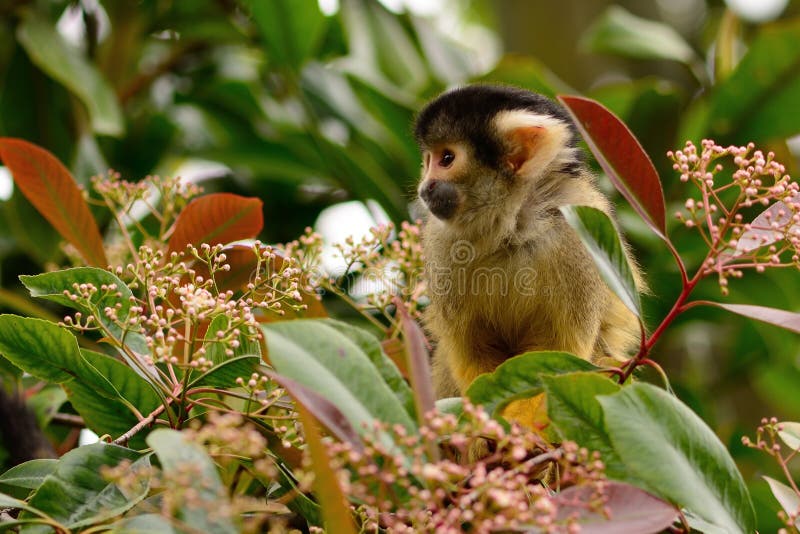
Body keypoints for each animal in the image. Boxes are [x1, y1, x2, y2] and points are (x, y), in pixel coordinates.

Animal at [414, 84, 643, 405]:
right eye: (427, 162)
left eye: (446, 159)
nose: (425, 187)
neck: (513, 227)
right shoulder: (441, 244)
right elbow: (473, 353)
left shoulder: (576, 240)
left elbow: (554, 355)